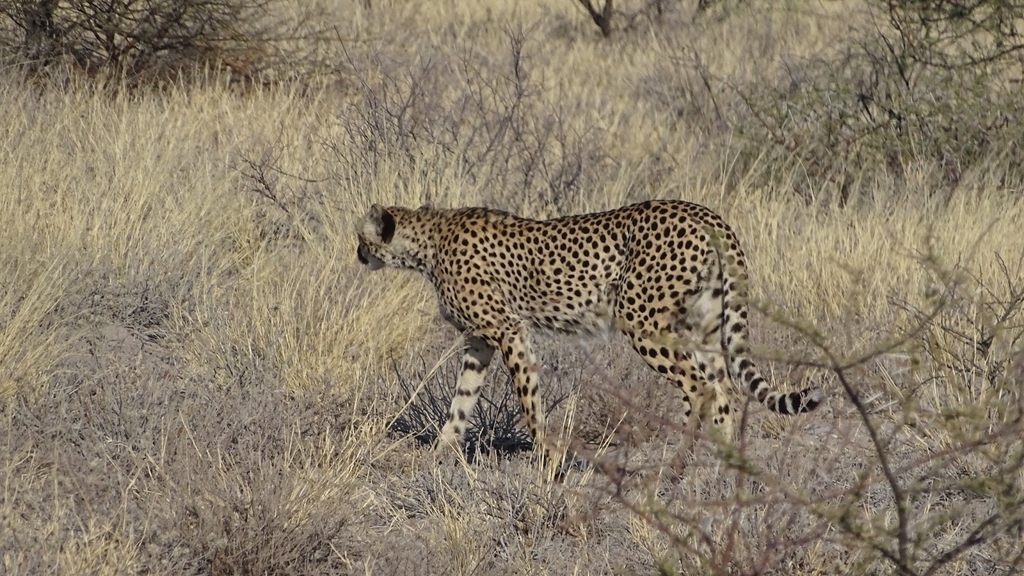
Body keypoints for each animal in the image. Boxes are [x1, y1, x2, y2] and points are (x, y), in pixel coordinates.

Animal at [356, 200, 823, 465]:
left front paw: (547, 460)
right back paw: (722, 466)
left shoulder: (508, 330)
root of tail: (704, 212)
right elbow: (461, 401)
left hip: (642, 321)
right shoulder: (480, 341)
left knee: (700, 389)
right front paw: (438, 456)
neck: (429, 240)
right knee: (725, 390)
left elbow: (529, 401)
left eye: (361, 236)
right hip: (702, 326)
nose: (357, 254)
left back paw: (677, 465)